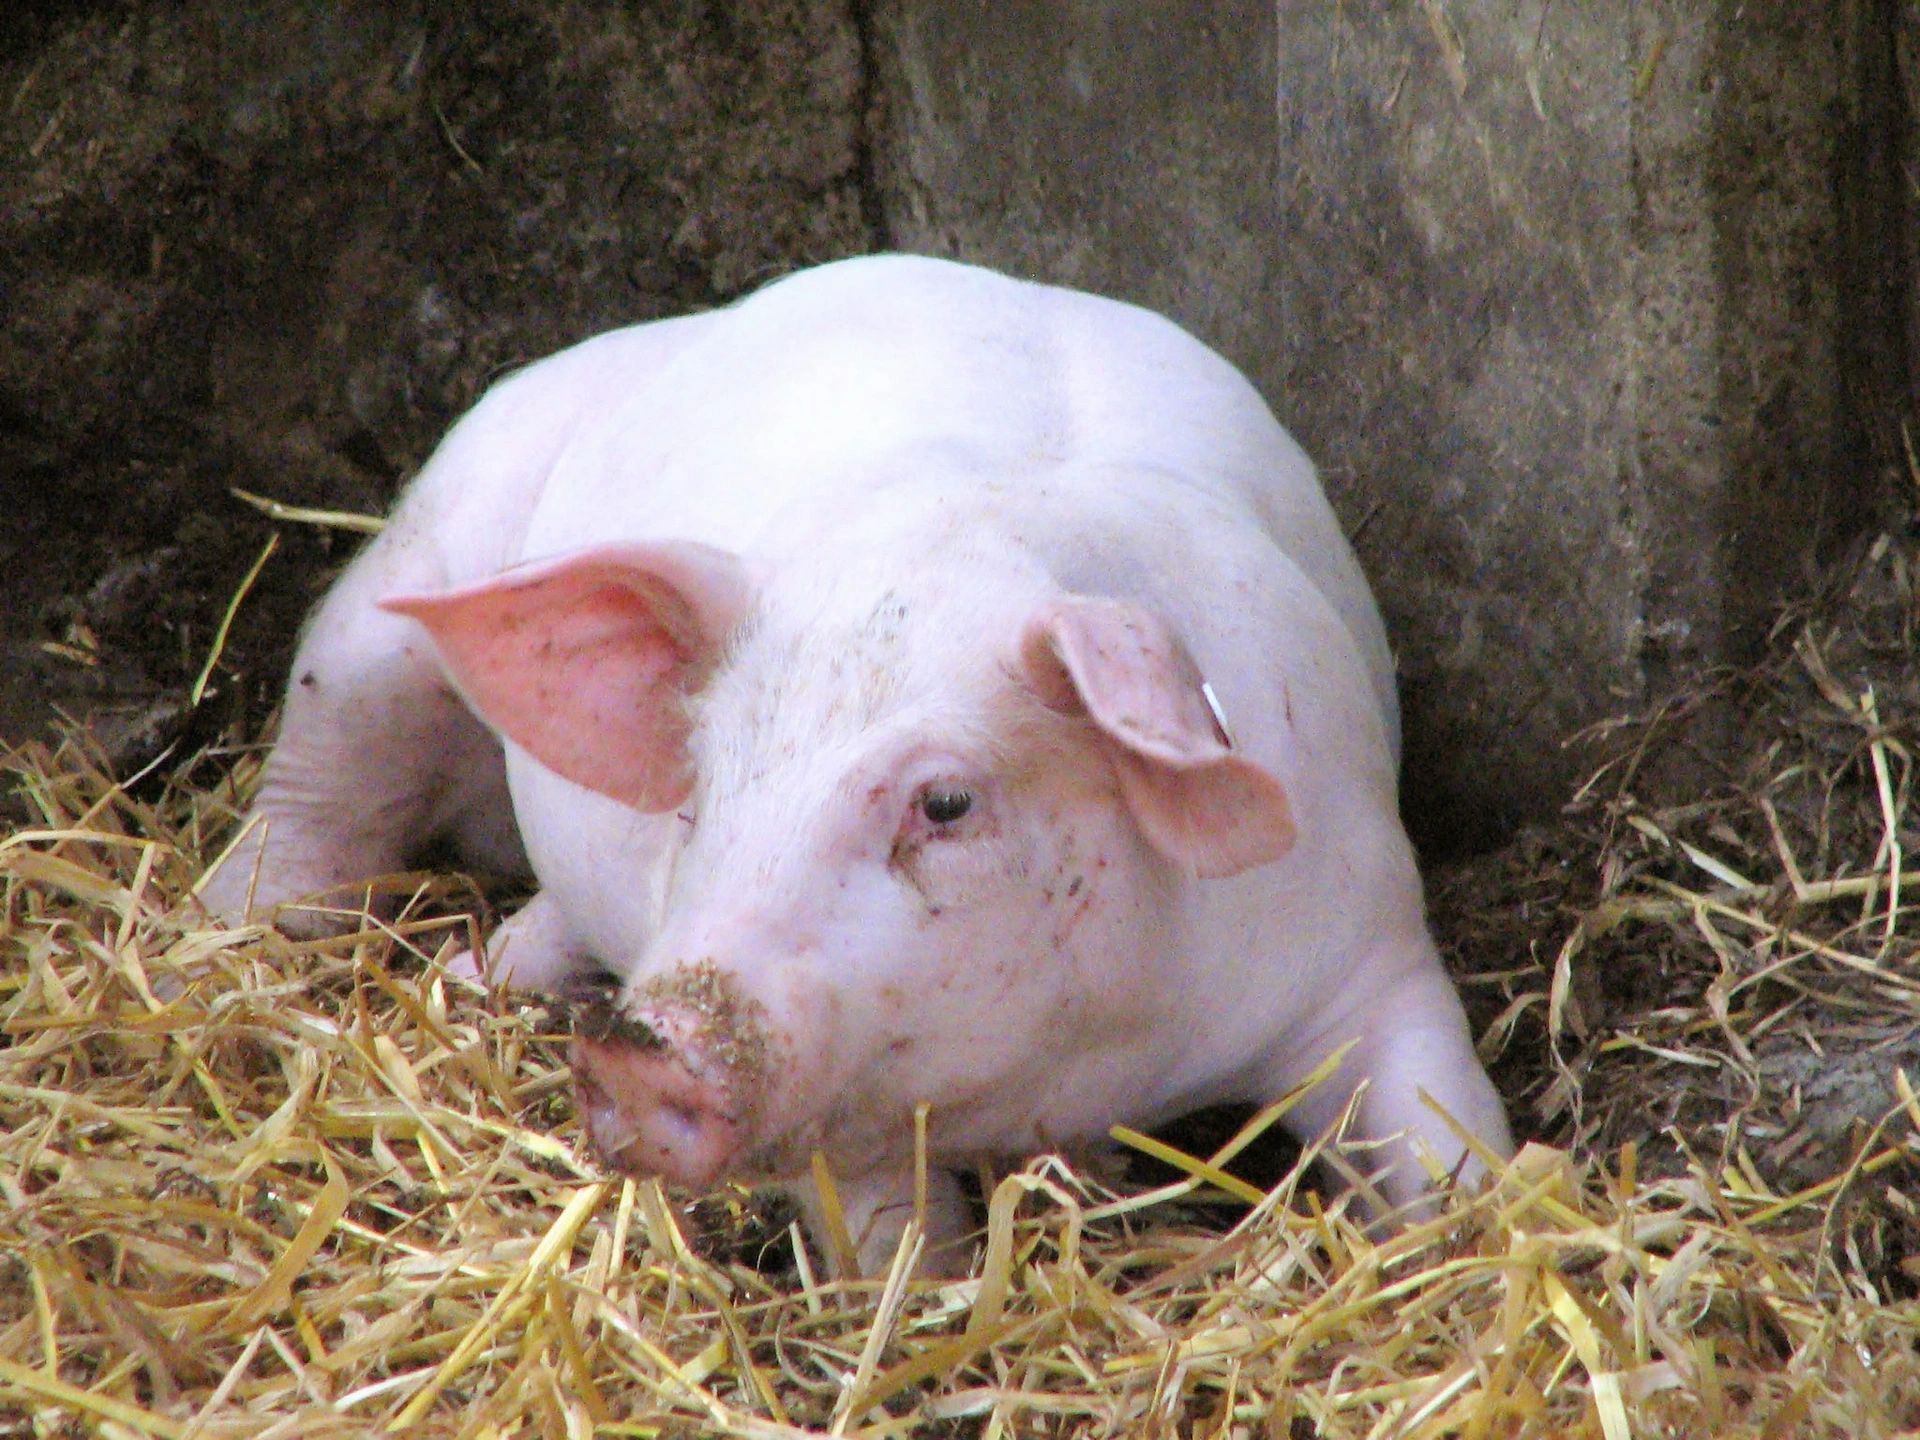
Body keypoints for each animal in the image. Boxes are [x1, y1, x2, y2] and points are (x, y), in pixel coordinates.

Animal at [201, 254, 1512, 1275]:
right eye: (705, 778)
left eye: (947, 802)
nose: (641, 1048)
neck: (1090, 1064)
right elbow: (891, 1249)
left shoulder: (1367, 933)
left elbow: (1447, 1129)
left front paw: (1480, 1227)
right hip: (406, 578)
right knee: (322, 777)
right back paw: (240, 935)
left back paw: (493, 976)